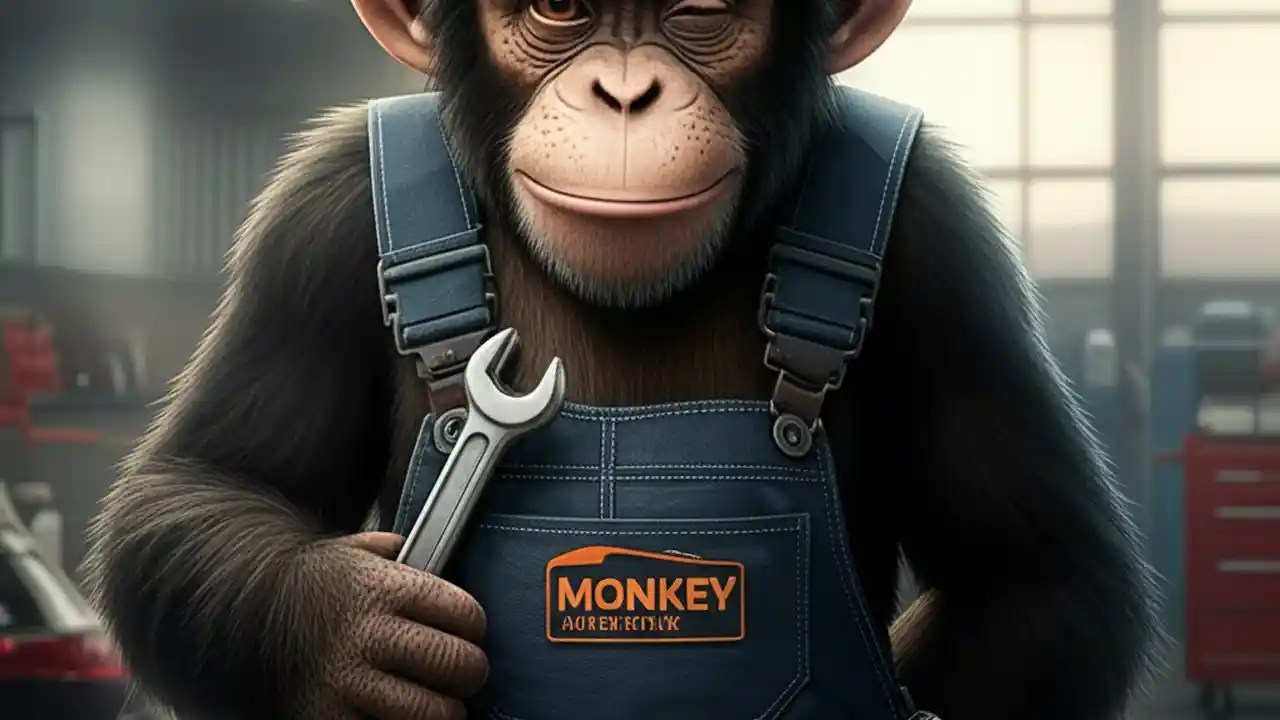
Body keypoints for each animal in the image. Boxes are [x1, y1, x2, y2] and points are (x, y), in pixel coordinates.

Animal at [83, 1, 1161, 719]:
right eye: (558, 9)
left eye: (701, 13)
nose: (626, 92)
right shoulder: (319, 212)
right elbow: (206, 482)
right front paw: (359, 634)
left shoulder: (946, 241)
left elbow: (1040, 569)